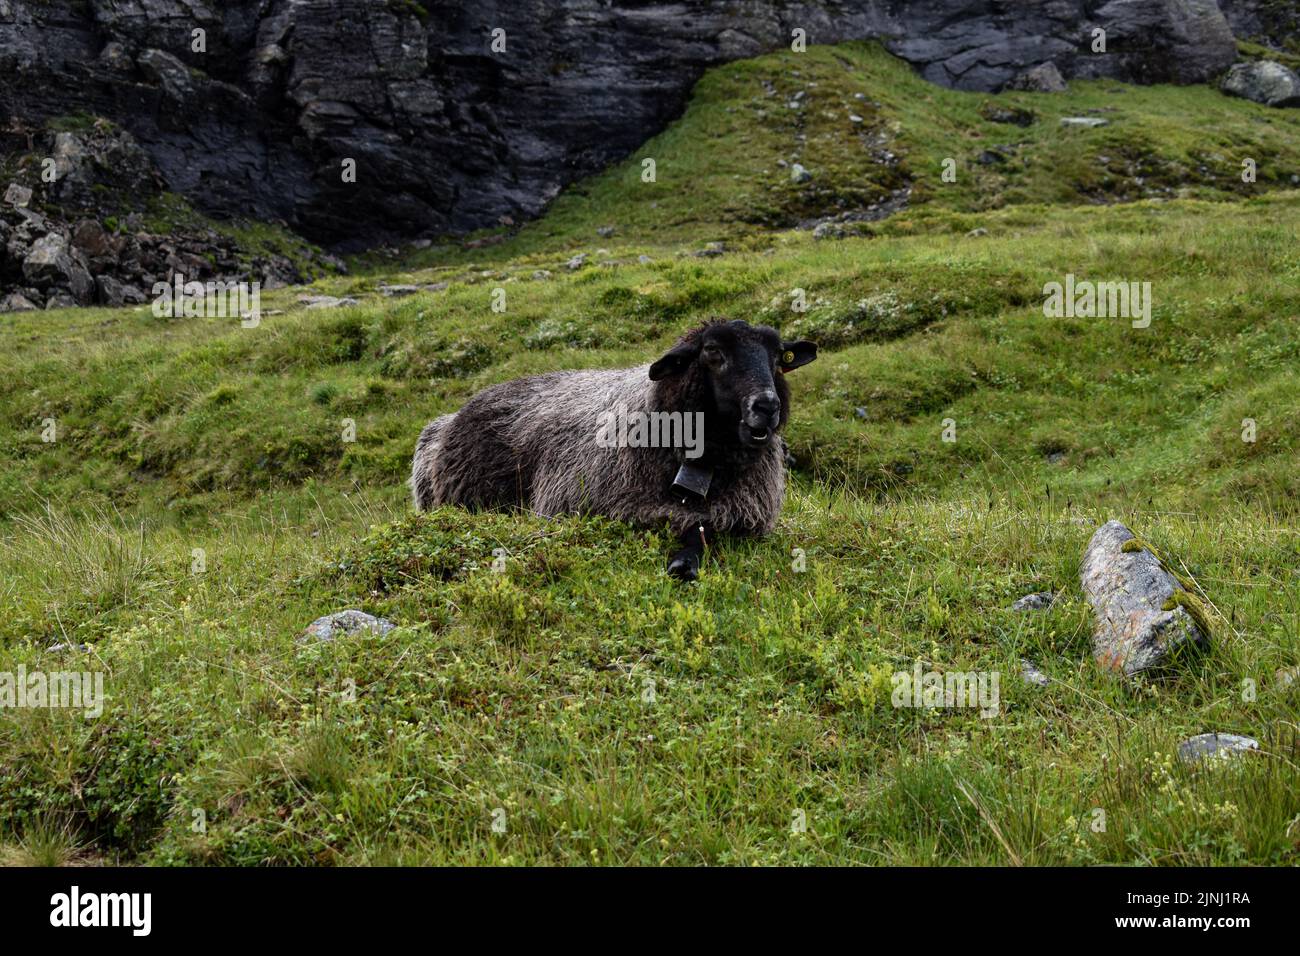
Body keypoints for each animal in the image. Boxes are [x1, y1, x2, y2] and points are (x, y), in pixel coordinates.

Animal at [411, 319, 817, 579]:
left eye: (778, 358)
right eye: (713, 353)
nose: (767, 407)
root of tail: (447, 420)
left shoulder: (743, 515)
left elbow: (704, 528)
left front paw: (685, 560)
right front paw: (682, 564)